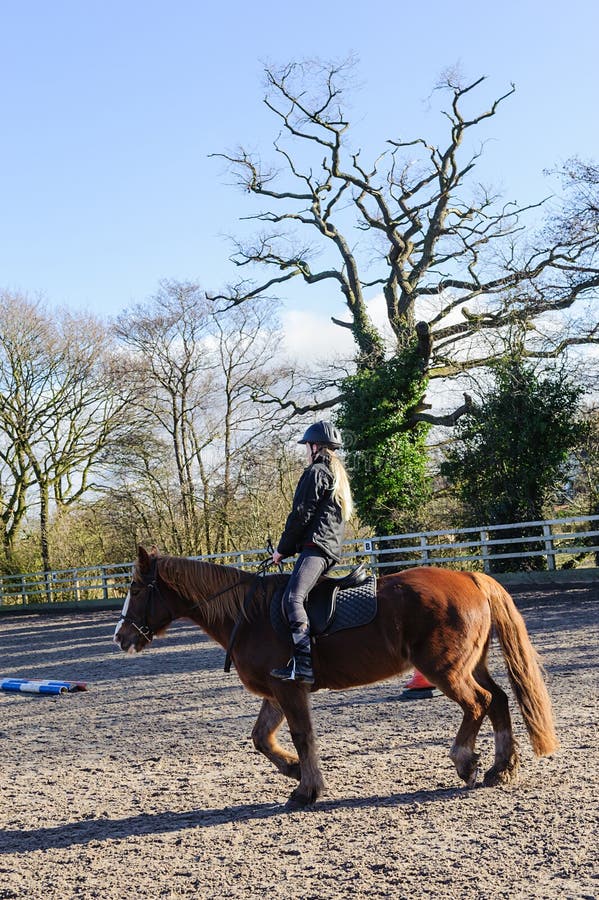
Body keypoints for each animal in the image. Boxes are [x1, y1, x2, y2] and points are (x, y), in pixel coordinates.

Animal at [113, 546, 559, 807]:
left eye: (135, 589)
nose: (120, 638)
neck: (248, 615)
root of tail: (470, 578)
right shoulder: (275, 693)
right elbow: (261, 738)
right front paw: (295, 771)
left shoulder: (289, 688)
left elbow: (302, 735)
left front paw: (307, 789)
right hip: (471, 663)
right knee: (498, 700)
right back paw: (501, 768)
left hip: (445, 670)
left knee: (479, 703)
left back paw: (465, 760)